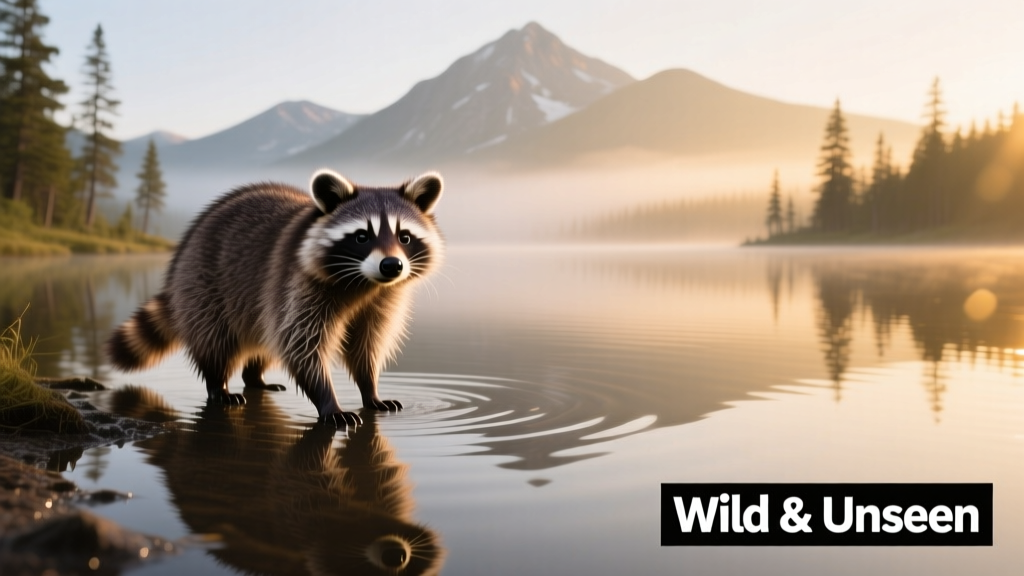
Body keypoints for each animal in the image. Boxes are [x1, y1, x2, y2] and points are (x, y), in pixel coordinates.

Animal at [106, 169, 444, 427]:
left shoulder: (383, 299)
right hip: (203, 285)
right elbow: (302, 345)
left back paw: (255, 376)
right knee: (216, 338)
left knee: (266, 338)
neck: (364, 284)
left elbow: (367, 344)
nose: (392, 265)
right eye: (362, 236)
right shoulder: (297, 284)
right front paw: (328, 401)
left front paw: (370, 387)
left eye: (405, 237)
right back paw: (218, 384)